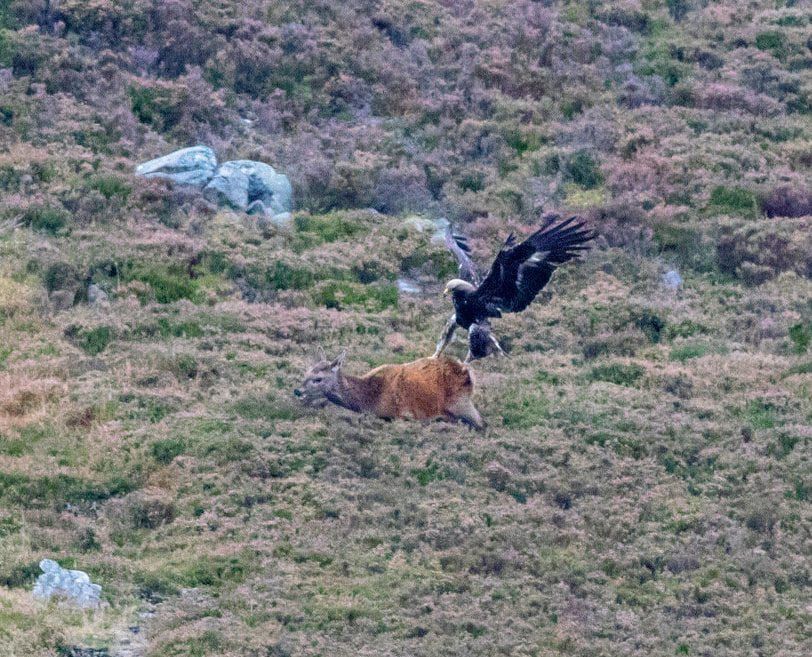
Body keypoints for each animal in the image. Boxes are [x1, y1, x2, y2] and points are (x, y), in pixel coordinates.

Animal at [294, 348, 485, 430]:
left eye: (318, 379)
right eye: (306, 372)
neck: (372, 399)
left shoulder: (405, 415)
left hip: (460, 402)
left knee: (481, 423)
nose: (297, 391)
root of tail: (467, 373)